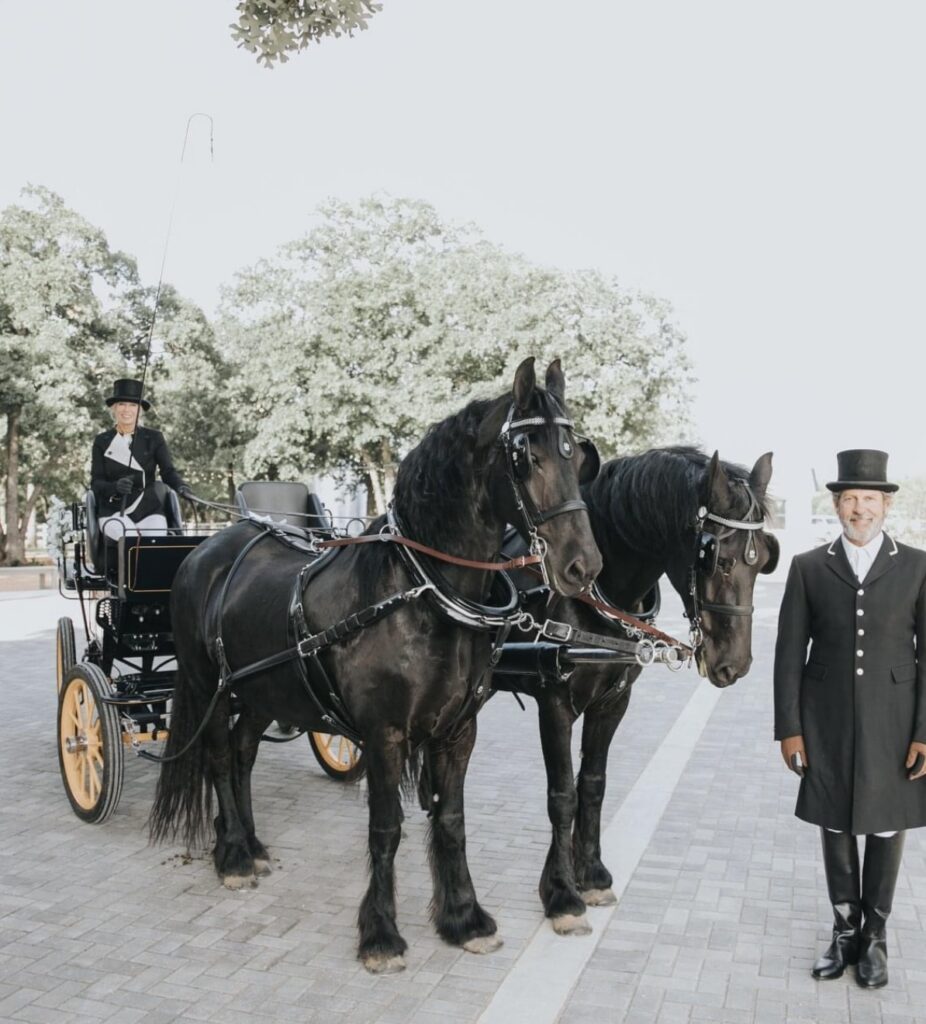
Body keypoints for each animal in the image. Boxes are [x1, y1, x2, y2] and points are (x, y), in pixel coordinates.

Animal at [149, 357, 602, 973]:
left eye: (577, 457)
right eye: (525, 455)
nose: (583, 566)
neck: (420, 592)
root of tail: (208, 548)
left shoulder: (457, 731)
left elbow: (451, 820)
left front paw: (464, 918)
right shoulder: (385, 735)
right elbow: (386, 829)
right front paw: (381, 934)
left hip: (267, 691)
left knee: (243, 753)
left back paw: (250, 842)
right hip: (209, 685)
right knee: (219, 758)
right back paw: (235, 855)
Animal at [494, 446, 779, 934]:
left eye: (762, 563)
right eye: (717, 559)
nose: (735, 665)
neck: (594, 593)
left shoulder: (613, 703)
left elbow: (592, 785)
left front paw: (590, 875)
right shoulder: (555, 704)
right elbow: (562, 795)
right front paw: (562, 894)